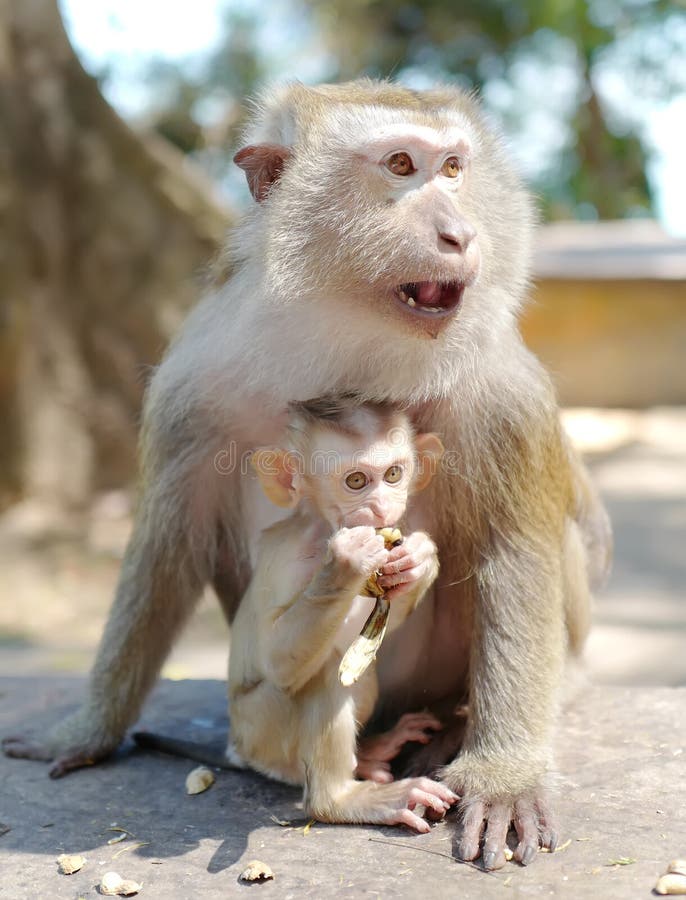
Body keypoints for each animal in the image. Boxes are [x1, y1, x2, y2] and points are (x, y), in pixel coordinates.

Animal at [3, 80, 612, 870]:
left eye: (453, 168)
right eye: (400, 164)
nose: (461, 234)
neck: (349, 336)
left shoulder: (502, 389)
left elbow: (517, 551)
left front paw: (503, 776)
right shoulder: (195, 375)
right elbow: (168, 547)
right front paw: (84, 729)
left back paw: (458, 725)